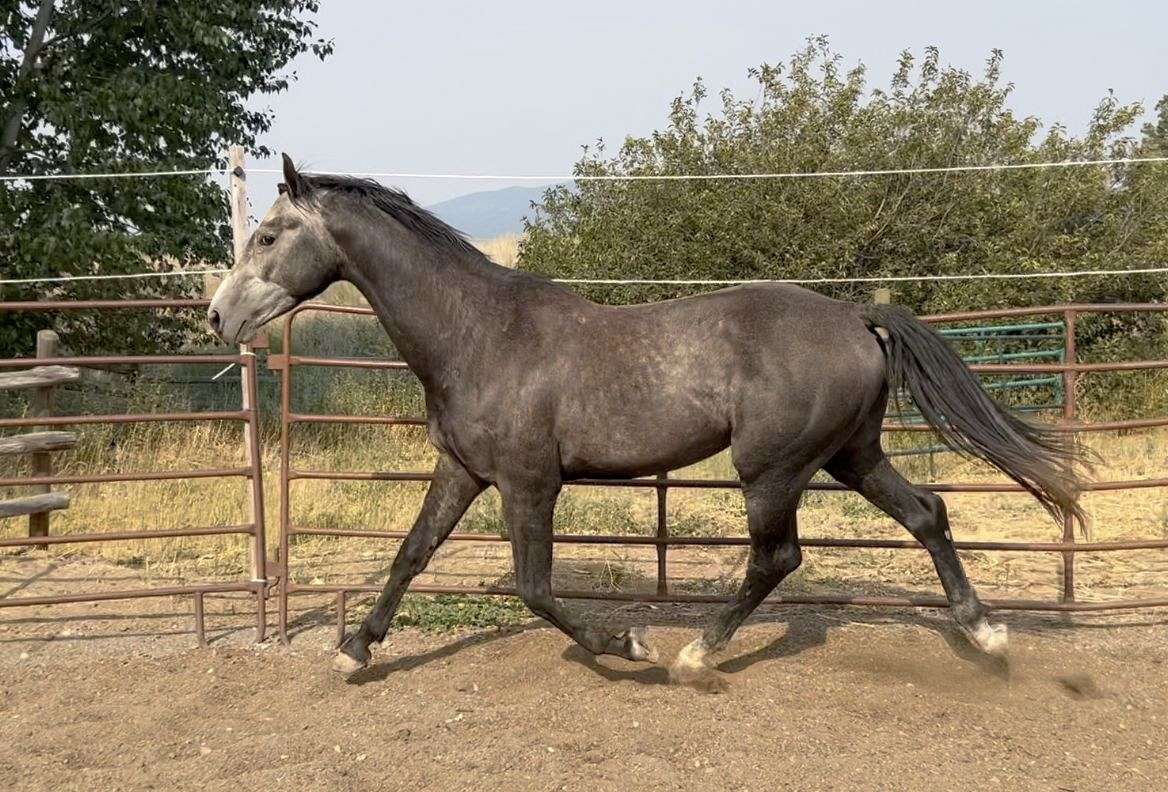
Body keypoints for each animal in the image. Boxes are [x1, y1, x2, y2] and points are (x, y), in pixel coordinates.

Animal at [208, 154, 1085, 688]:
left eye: (270, 234)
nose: (219, 316)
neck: (479, 333)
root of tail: (854, 317)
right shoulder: (463, 470)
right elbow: (411, 554)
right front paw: (356, 648)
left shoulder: (530, 483)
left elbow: (535, 589)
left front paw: (626, 643)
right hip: (851, 455)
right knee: (927, 514)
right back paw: (987, 638)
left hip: (773, 469)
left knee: (779, 557)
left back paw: (695, 653)